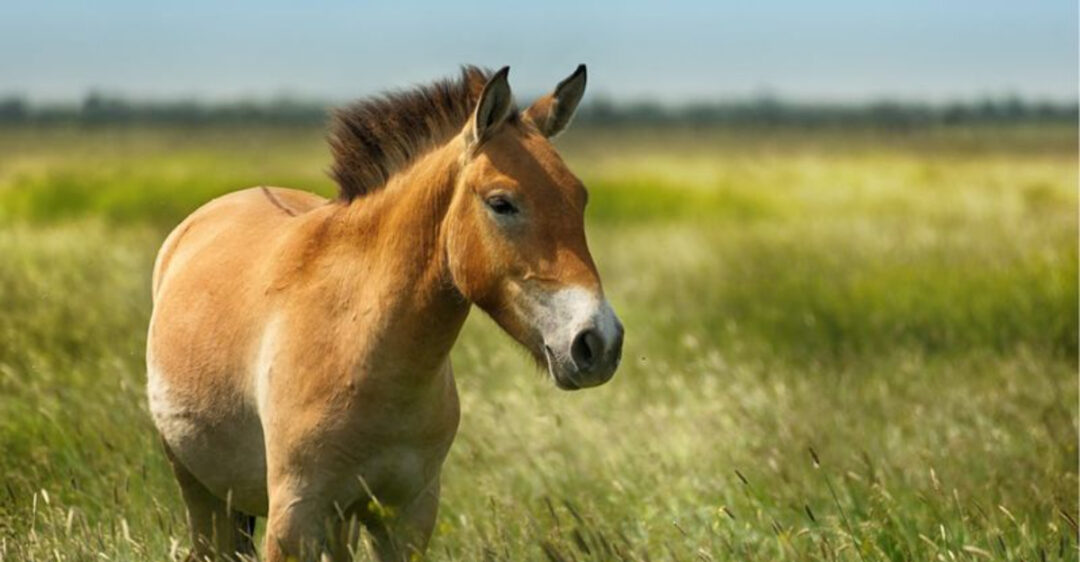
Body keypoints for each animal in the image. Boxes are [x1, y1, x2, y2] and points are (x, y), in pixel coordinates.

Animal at [146, 65, 624, 561]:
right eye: (501, 203)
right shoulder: (293, 520)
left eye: (580, 199)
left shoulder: (406, 517)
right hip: (201, 493)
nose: (598, 343)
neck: (357, 341)